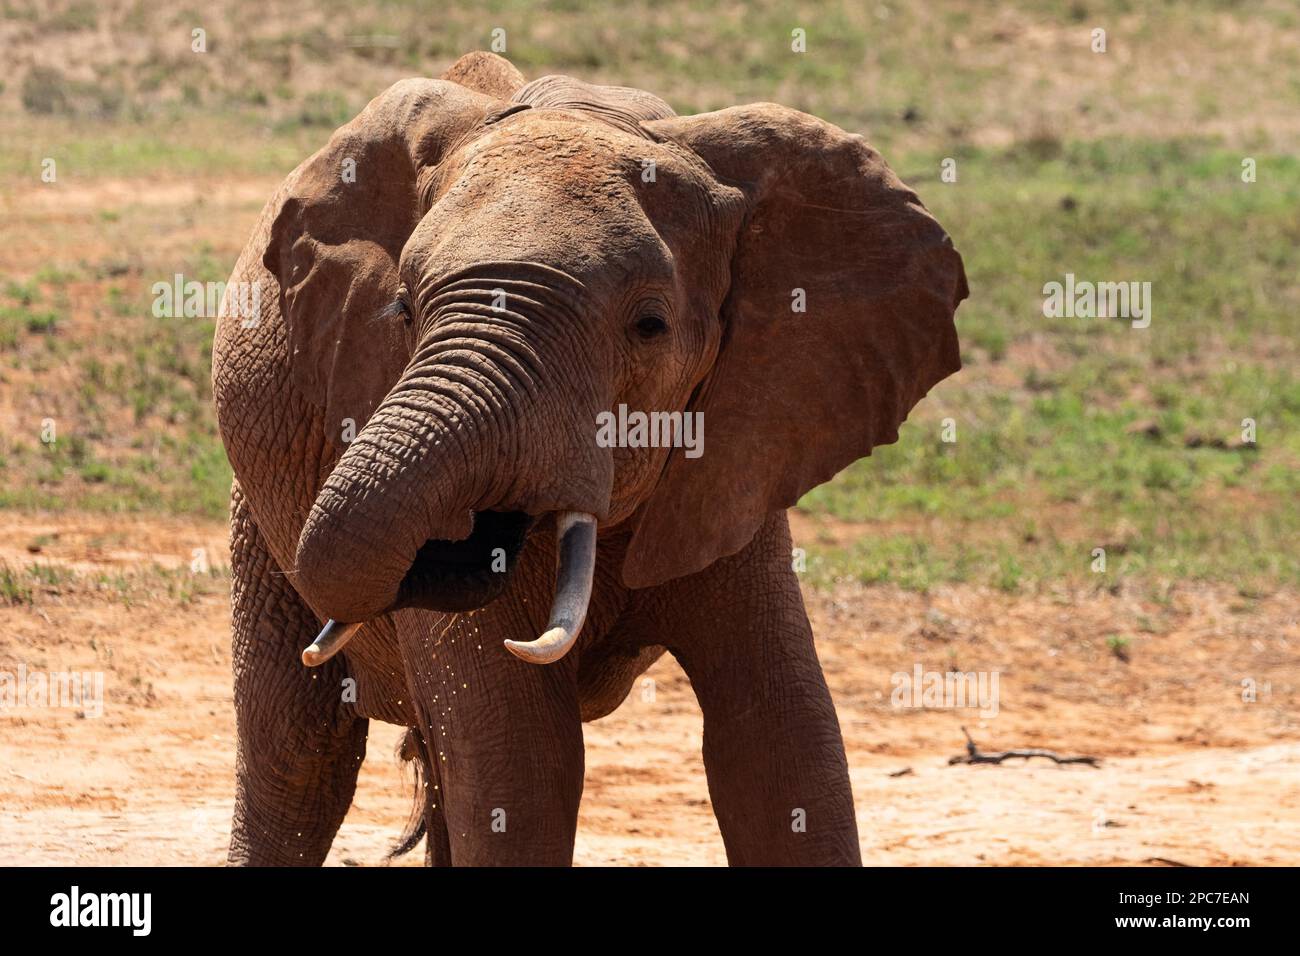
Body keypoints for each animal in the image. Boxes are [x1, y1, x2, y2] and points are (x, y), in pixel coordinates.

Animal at [211, 51, 967, 866]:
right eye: (403, 311)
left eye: (650, 326)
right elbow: (521, 758)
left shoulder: (738, 448)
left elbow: (782, 738)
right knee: (297, 752)